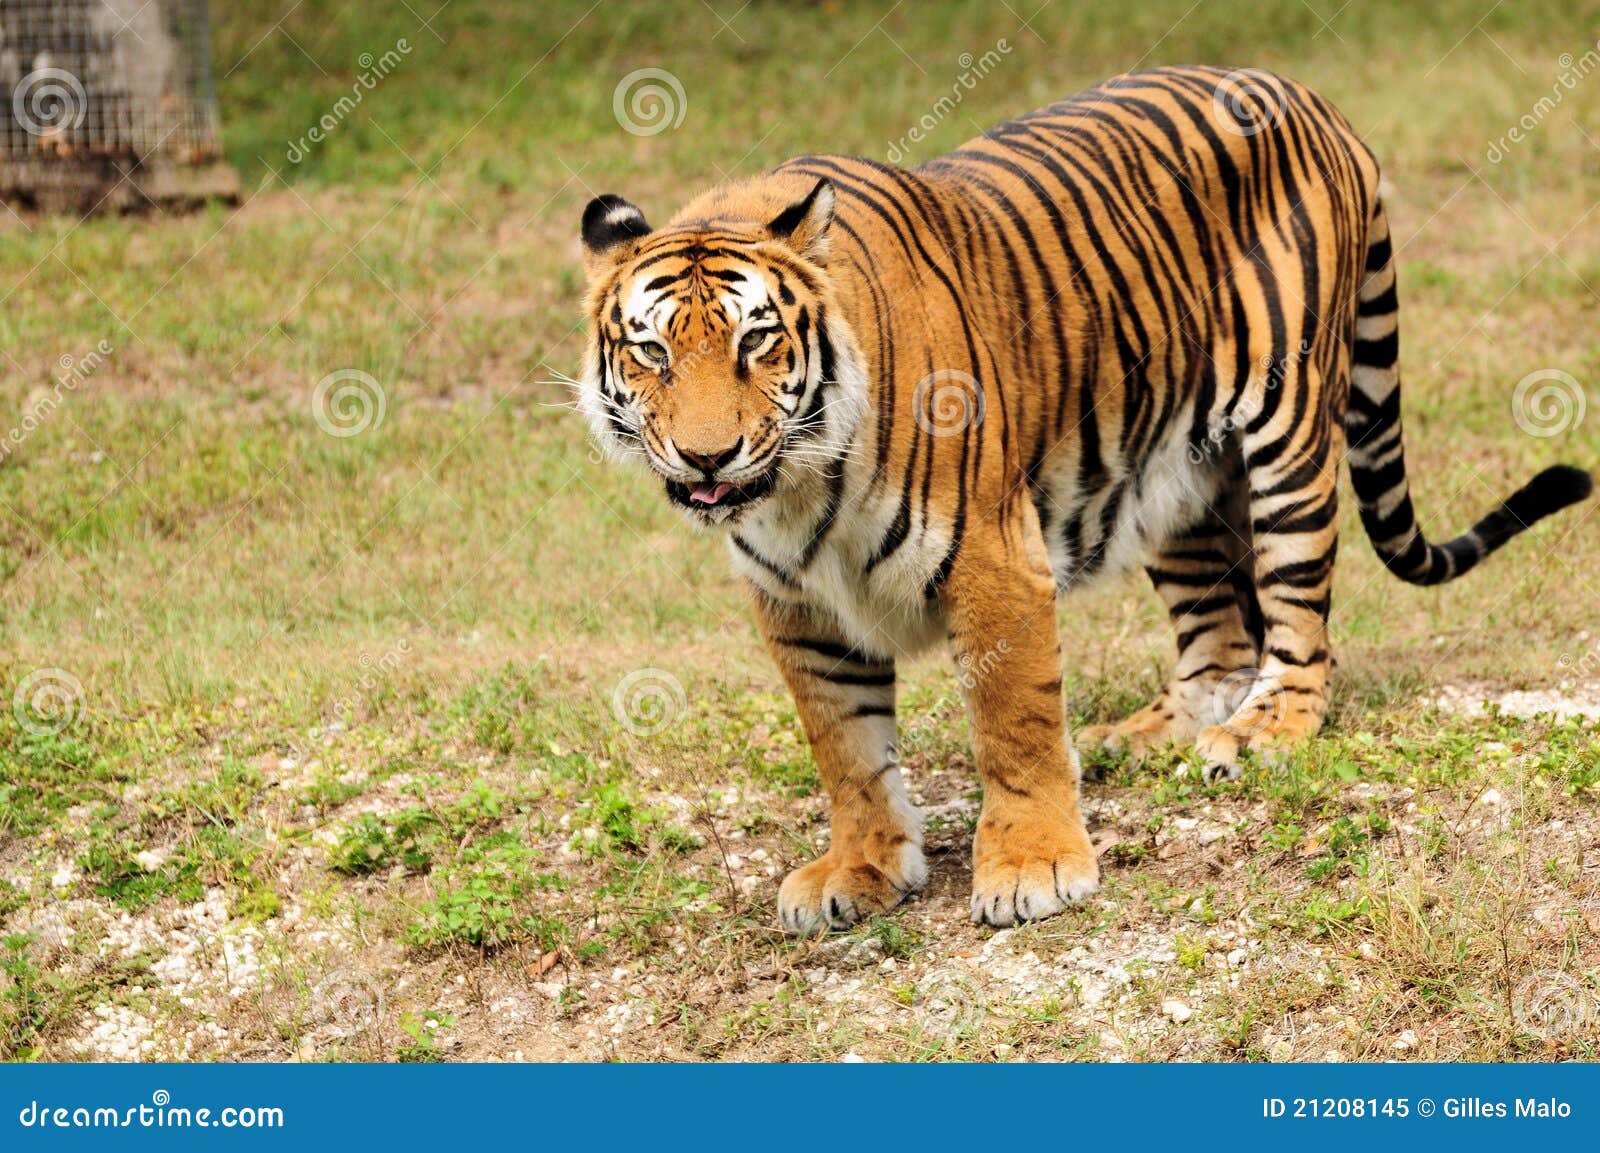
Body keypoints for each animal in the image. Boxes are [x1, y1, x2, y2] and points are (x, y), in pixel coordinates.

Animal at [576, 66, 1592, 935]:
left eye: (756, 341)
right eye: (653, 351)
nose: (708, 454)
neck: (793, 490)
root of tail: (1308, 95)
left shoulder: (991, 558)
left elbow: (1012, 723)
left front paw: (1033, 868)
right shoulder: (795, 603)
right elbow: (847, 749)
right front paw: (861, 868)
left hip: (1291, 431)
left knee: (1300, 617)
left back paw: (1263, 732)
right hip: (1172, 468)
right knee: (1220, 636)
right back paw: (1149, 735)